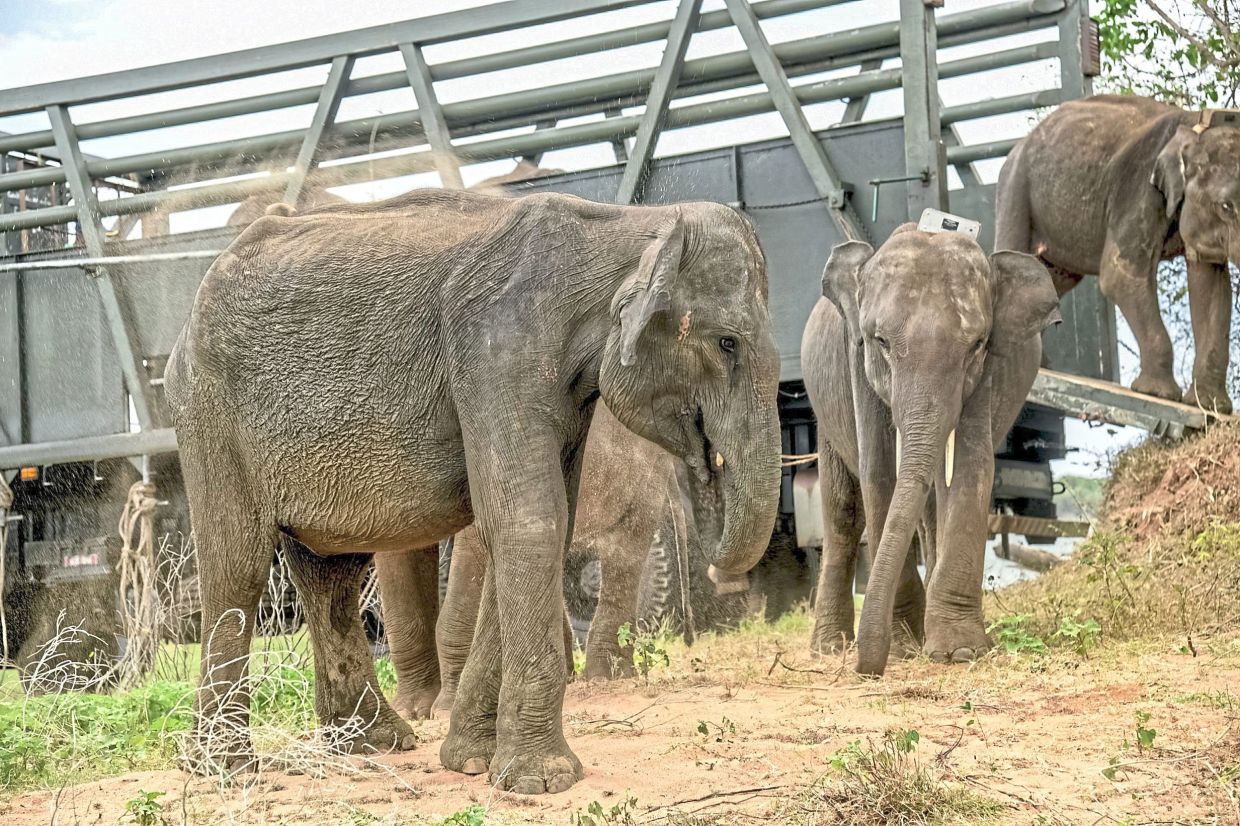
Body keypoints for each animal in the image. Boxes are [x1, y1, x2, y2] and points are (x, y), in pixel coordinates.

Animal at [164, 187, 782, 794]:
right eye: (727, 343)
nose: (721, 573)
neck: (625, 225)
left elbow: (545, 521)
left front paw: (471, 762)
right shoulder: (494, 355)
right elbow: (529, 521)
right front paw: (540, 782)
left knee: (329, 574)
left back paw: (373, 744)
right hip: (208, 414)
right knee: (238, 567)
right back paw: (225, 770)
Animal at [802, 222, 1059, 676]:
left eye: (977, 344)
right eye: (880, 341)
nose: (868, 669)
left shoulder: (984, 374)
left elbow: (972, 470)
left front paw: (958, 652)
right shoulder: (857, 362)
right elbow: (878, 474)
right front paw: (904, 648)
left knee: (932, 505)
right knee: (842, 513)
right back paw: (829, 648)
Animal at [996, 94, 1240, 413]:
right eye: (1226, 206)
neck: (1194, 123)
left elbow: (1212, 286)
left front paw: (1211, 406)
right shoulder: (1137, 191)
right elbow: (1120, 275)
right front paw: (1157, 394)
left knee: (1052, 280)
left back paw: (1045, 366)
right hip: (1015, 188)